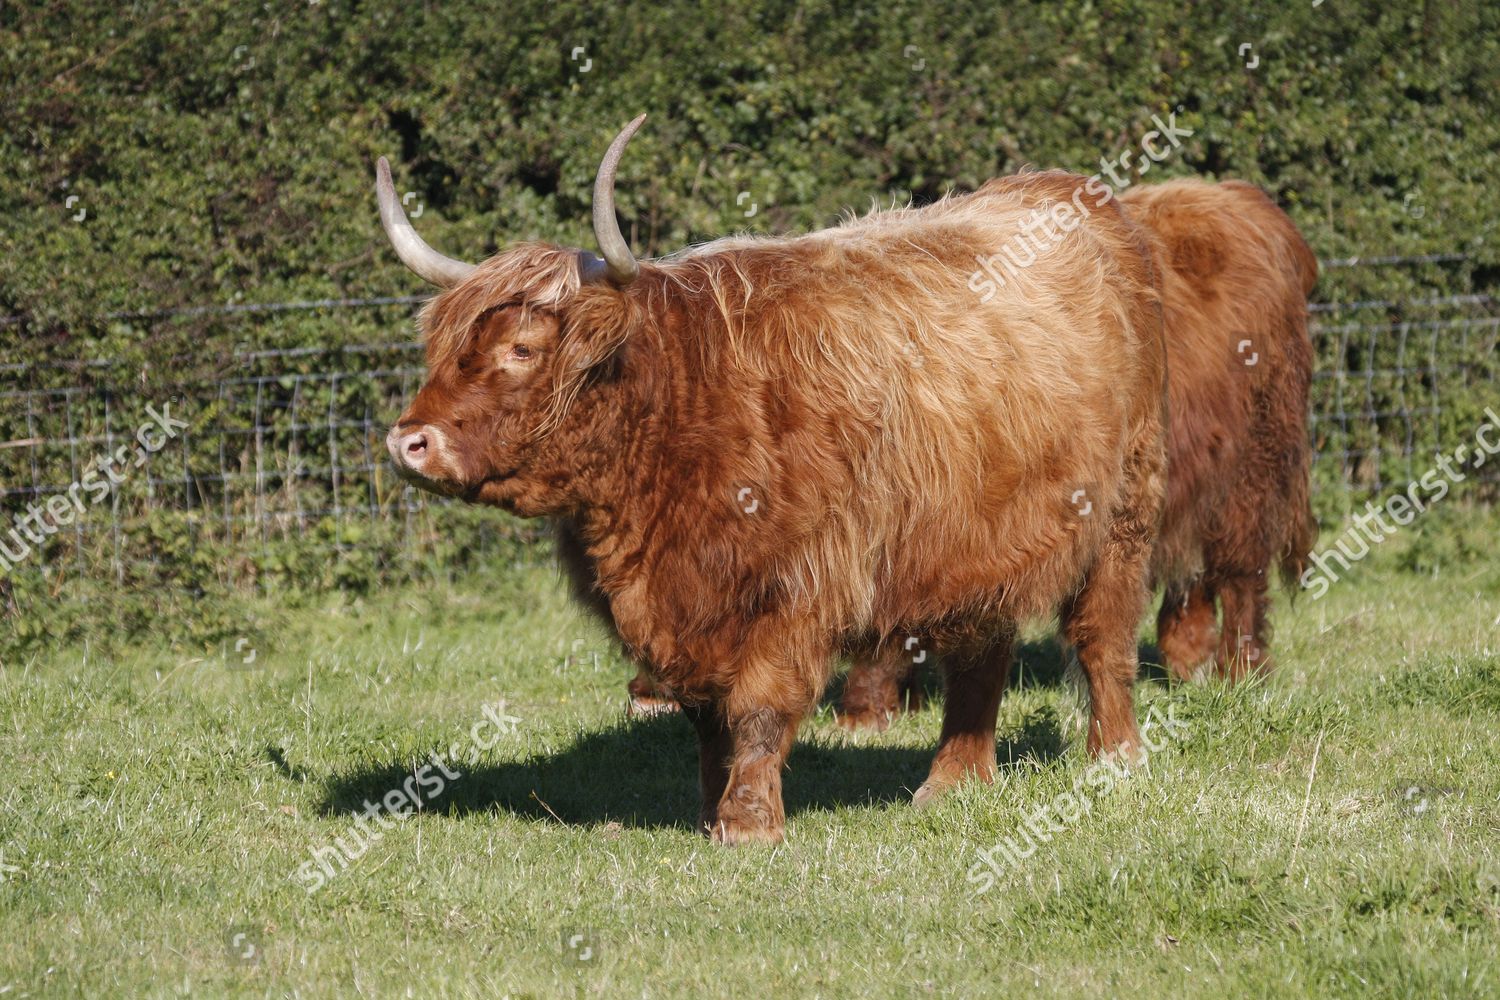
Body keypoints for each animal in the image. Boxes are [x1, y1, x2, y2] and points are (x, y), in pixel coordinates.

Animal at [378, 116, 1168, 843]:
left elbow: (760, 706)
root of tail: (1073, 192)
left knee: (1103, 635)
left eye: (522, 348)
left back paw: (1115, 759)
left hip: (1124, 511)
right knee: (981, 652)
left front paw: (749, 823)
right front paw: (707, 812)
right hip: (980, 535)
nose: (408, 441)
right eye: (447, 347)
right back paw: (953, 782)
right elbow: (707, 720)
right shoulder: (689, 609)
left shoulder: (799, 584)